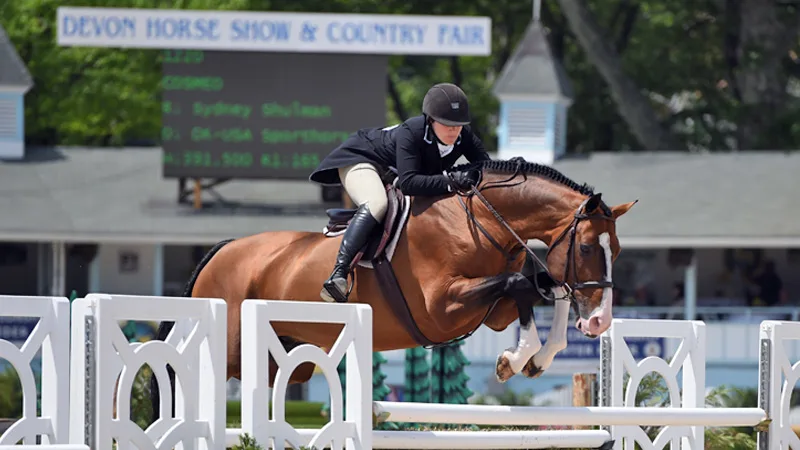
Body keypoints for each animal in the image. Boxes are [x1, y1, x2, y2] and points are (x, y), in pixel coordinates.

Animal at [148, 157, 636, 419]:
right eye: (588, 247)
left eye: (617, 250)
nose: (600, 322)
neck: (479, 220)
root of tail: (222, 250)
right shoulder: (441, 308)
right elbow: (522, 285)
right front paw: (514, 360)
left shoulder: (491, 310)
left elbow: (542, 289)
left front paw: (536, 357)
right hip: (228, 344)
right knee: (178, 374)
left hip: (280, 360)